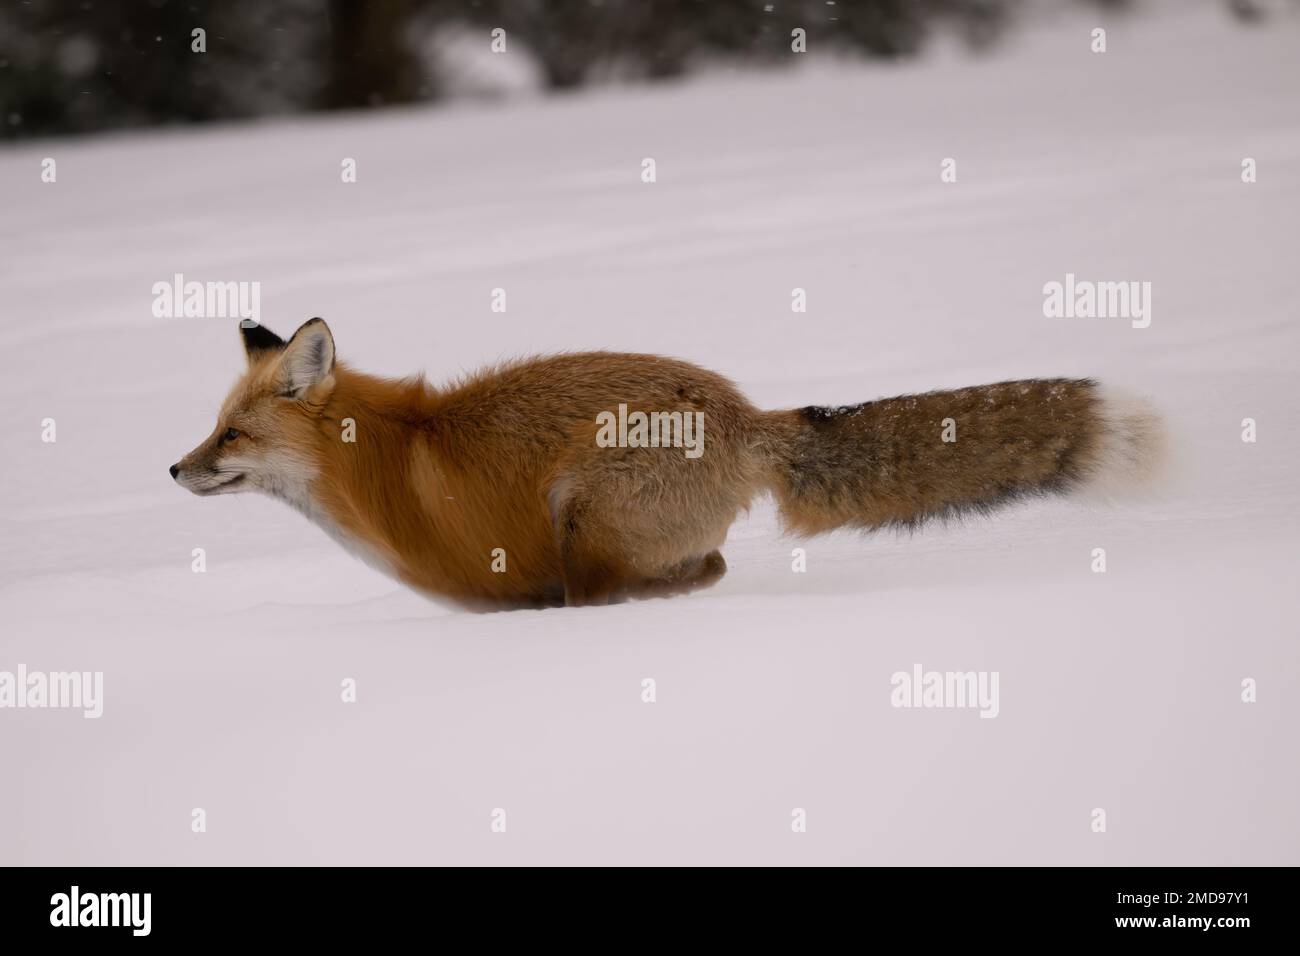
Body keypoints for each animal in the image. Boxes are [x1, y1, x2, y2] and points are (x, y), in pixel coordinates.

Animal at [171, 318, 1162, 609]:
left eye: (232, 436)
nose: (173, 473)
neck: (387, 462)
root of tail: (745, 416)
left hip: (585, 519)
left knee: (677, 576)